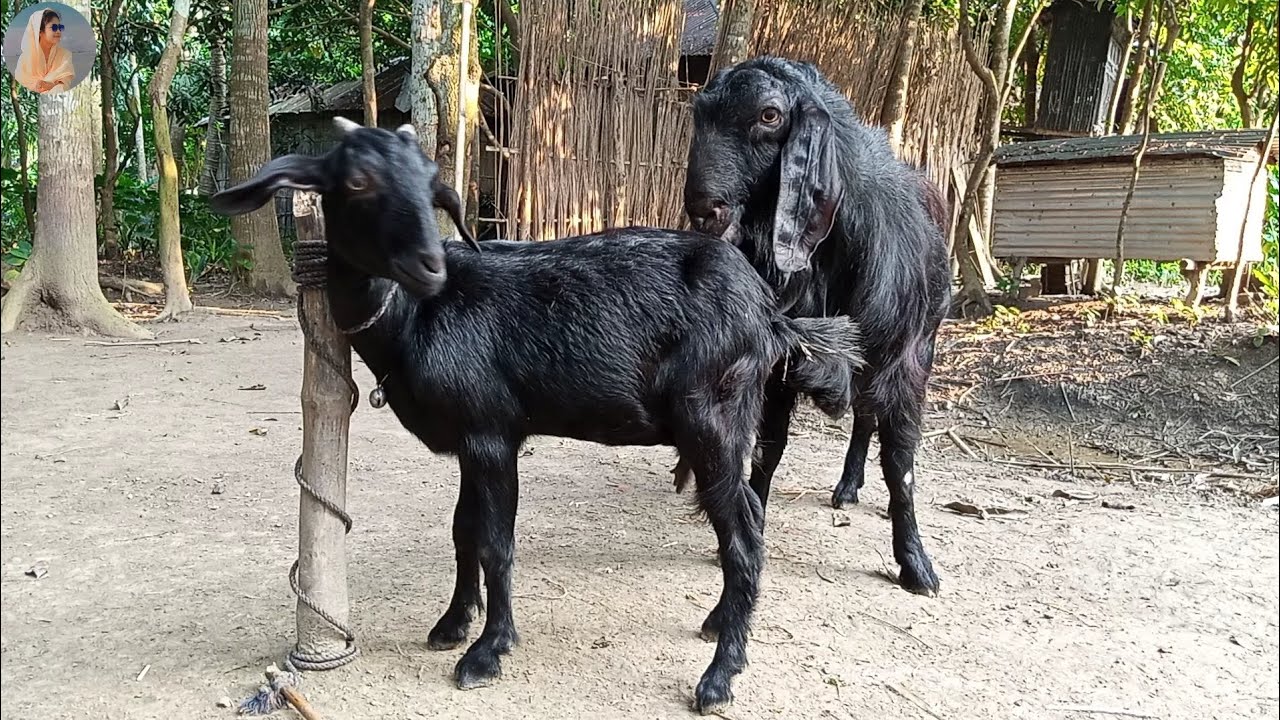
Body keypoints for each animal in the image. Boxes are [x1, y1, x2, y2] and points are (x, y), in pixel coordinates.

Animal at [210, 117, 864, 714]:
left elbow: (496, 542)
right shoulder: (473, 437)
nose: (429, 265)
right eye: (356, 181)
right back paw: (716, 625)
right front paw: (452, 623)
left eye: (429, 185)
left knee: (745, 536)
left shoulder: (491, 434)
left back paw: (720, 676)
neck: (415, 318)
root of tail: (769, 314)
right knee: (744, 522)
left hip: (714, 418)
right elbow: (463, 530)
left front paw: (487, 652)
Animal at [682, 56, 952, 597]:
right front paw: (755, 523)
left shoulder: (906, 363)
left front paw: (917, 566)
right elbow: (768, 450)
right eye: (700, 113)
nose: (703, 210)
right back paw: (846, 486)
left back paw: (849, 488)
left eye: (769, 115)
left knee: (868, 416)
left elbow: (902, 465)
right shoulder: (781, 364)